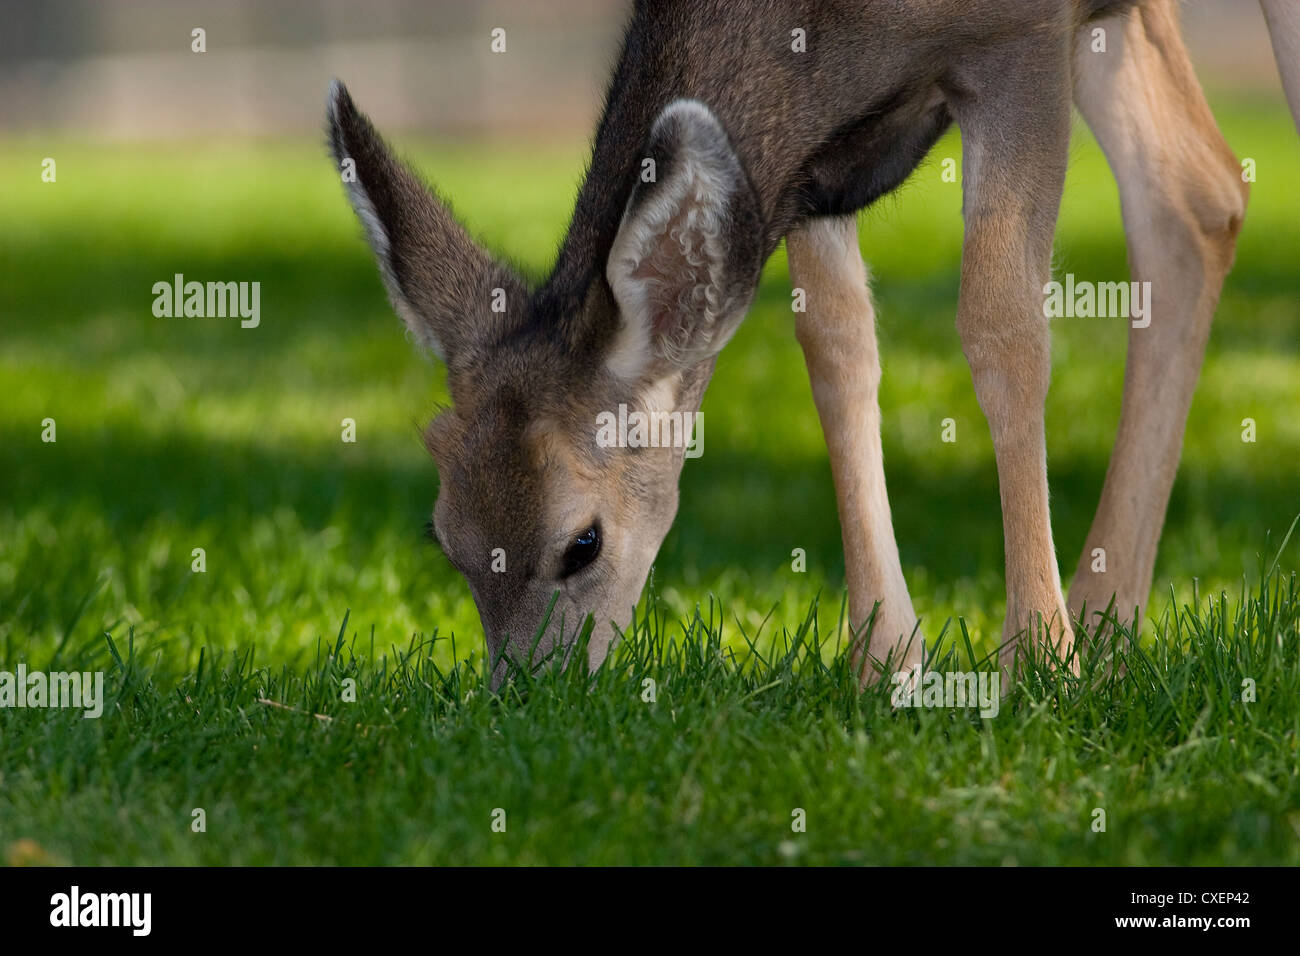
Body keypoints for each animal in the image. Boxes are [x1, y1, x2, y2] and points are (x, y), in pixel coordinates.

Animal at [327, 0, 1300, 688]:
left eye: (583, 543)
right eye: (444, 537)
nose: (522, 698)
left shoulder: (1021, 38)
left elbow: (1002, 327)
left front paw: (1035, 657)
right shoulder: (808, 175)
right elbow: (833, 342)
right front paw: (888, 662)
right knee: (1197, 194)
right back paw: (1109, 622)